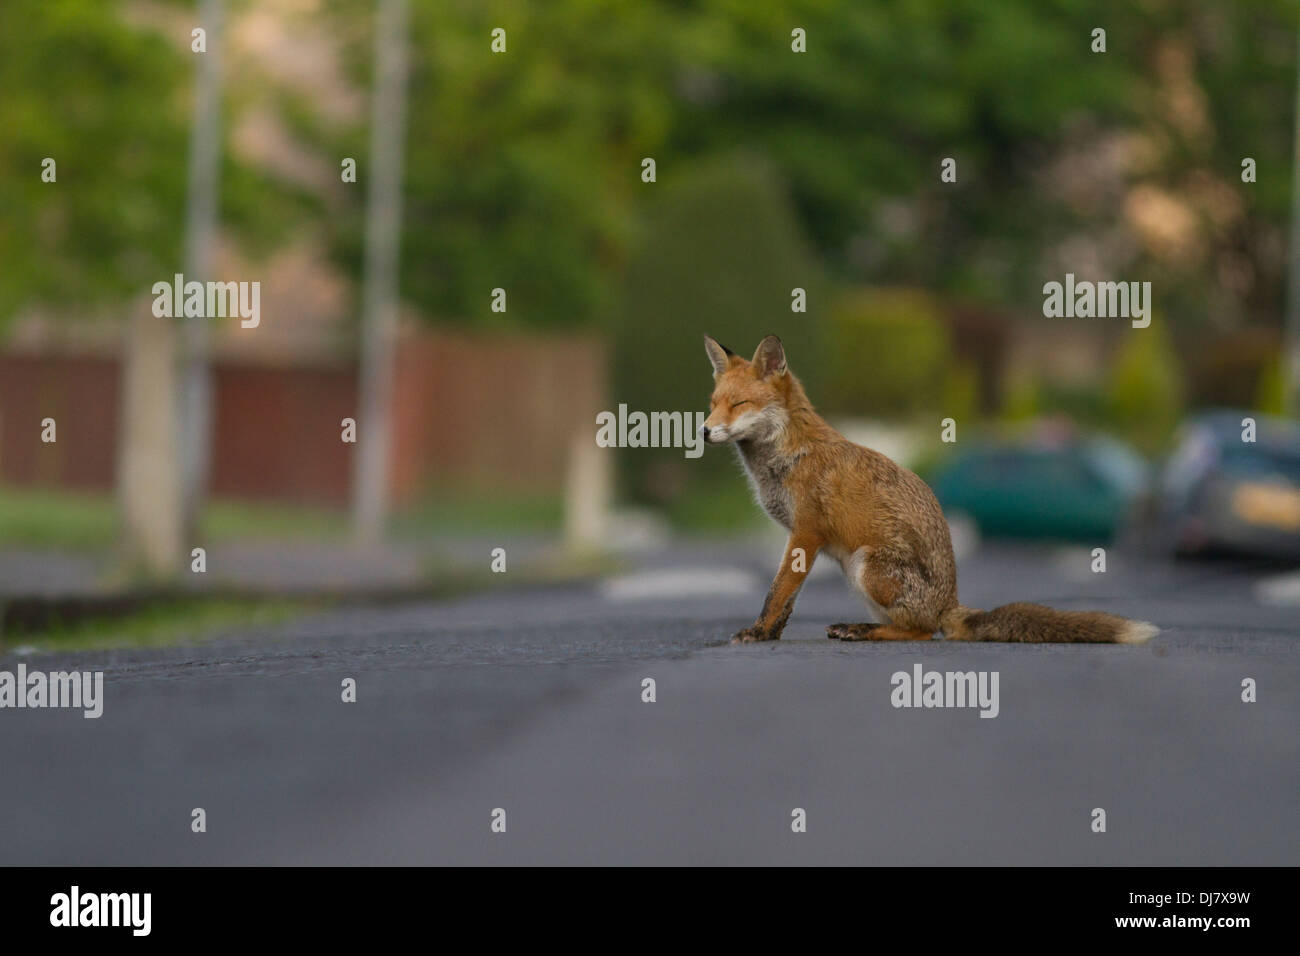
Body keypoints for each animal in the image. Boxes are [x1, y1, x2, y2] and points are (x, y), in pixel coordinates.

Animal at [700, 333, 1159, 645]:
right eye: (712, 403)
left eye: (739, 404)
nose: (703, 431)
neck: (787, 455)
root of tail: (949, 602)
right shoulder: (800, 538)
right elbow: (788, 600)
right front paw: (770, 634)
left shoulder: (806, 532)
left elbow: (777, 592)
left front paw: (757, 632)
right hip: (855, 569)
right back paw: (861, 626)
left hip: (866, 563)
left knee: (921, 631)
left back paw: (864, 631)